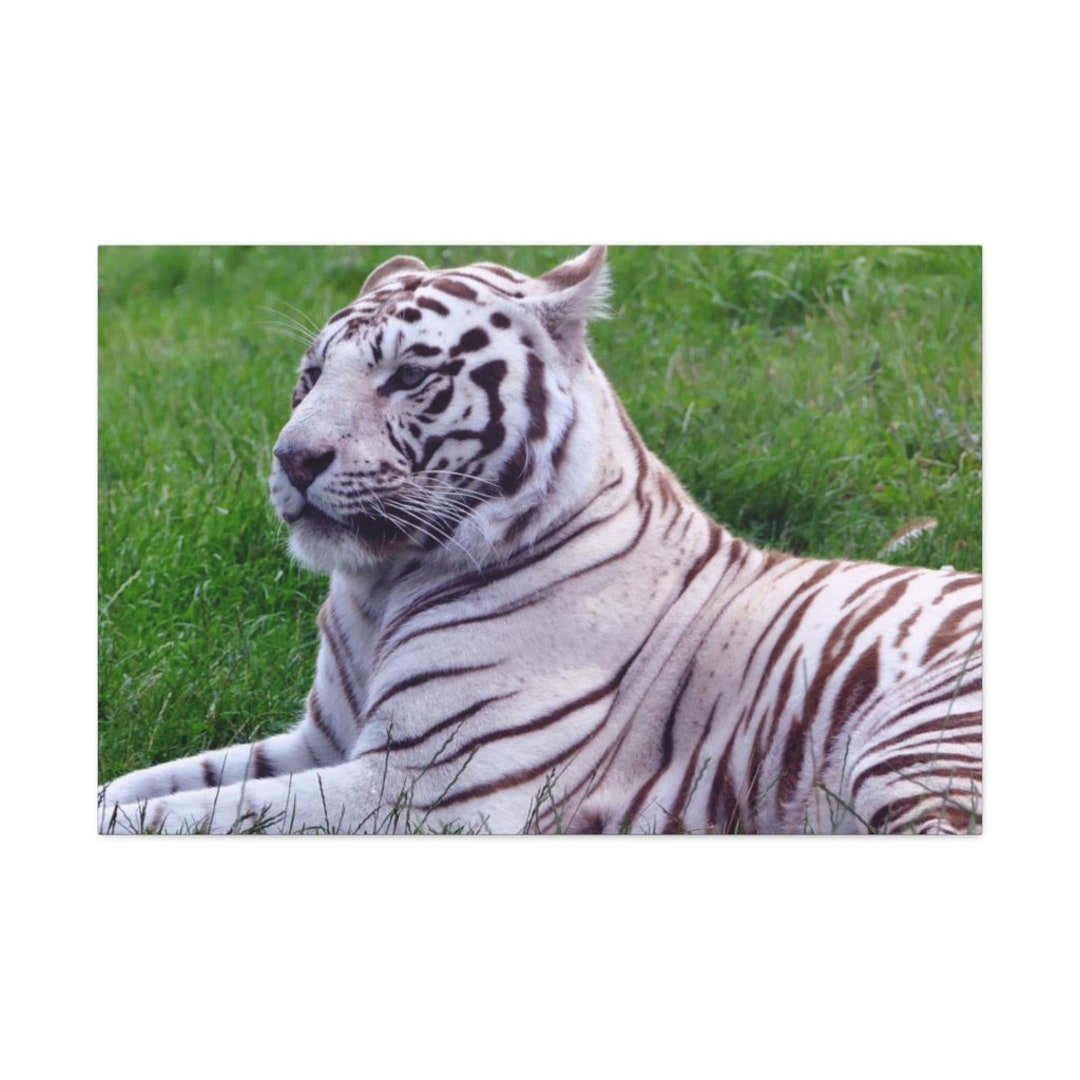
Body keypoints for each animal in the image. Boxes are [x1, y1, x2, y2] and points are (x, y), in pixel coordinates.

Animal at [98, 246, 982, 834]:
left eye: (409, 377)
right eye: (311, 378)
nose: (293, 458)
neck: (379, 588)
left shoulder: (416, 788)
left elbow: (185, 813)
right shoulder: (320, 741)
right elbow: (151, 783)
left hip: (910, 748)